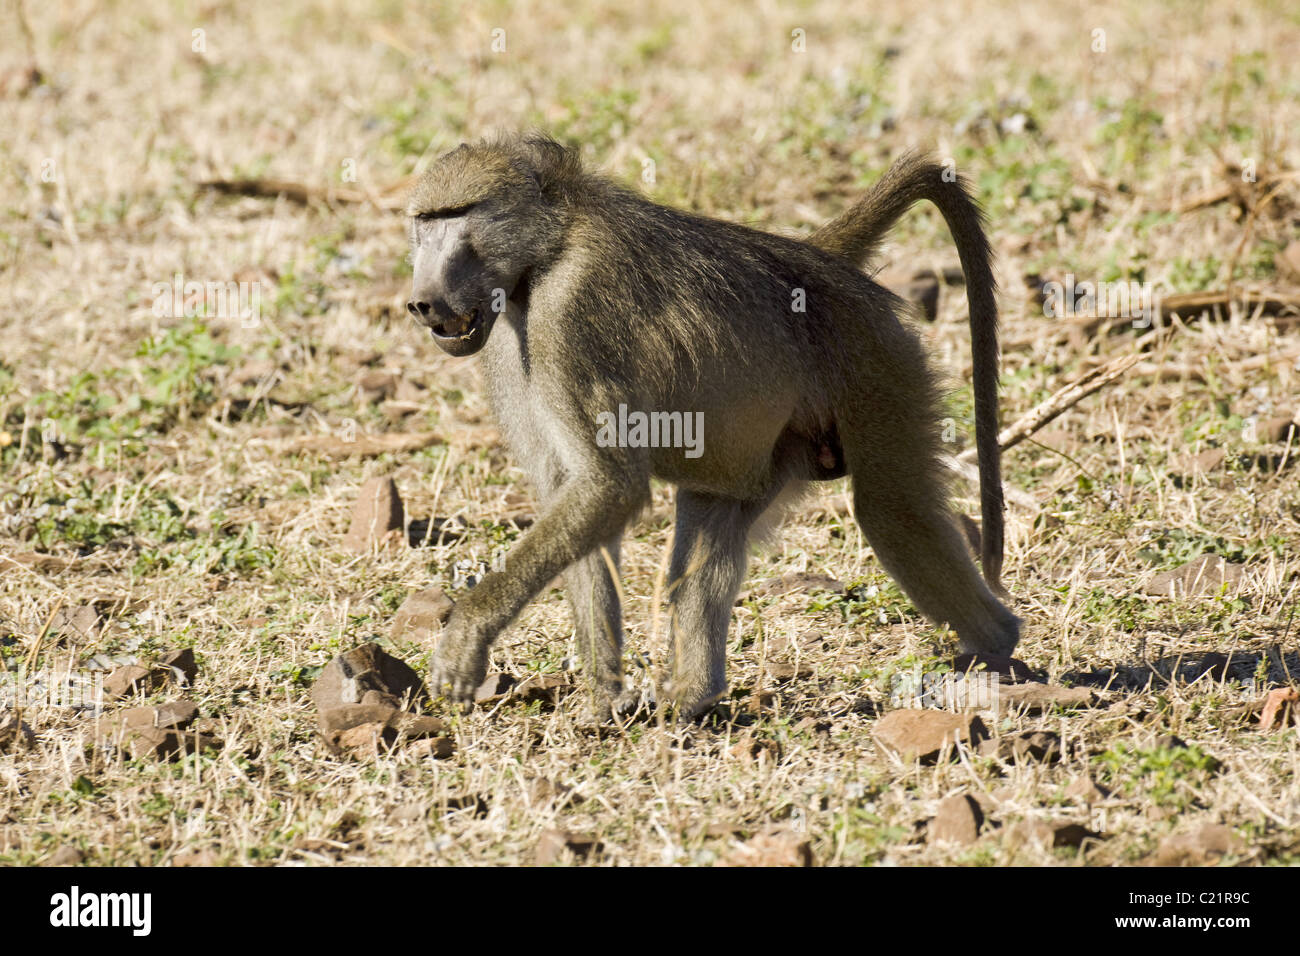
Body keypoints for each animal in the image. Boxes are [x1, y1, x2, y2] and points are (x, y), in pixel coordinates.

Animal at [404, 134, 1019, 720]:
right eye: (424, 222)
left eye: (459, 214)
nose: (422, 302)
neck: (545, 254)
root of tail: (813, 258)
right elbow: (574, 492)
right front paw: (605, 702)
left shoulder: (571, 316)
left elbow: (608, 484)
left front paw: (466, 635)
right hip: (768, 442)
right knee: (711, 519)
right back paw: (694, 700)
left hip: (876, 358)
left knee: (892, 513)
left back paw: (994, 653)